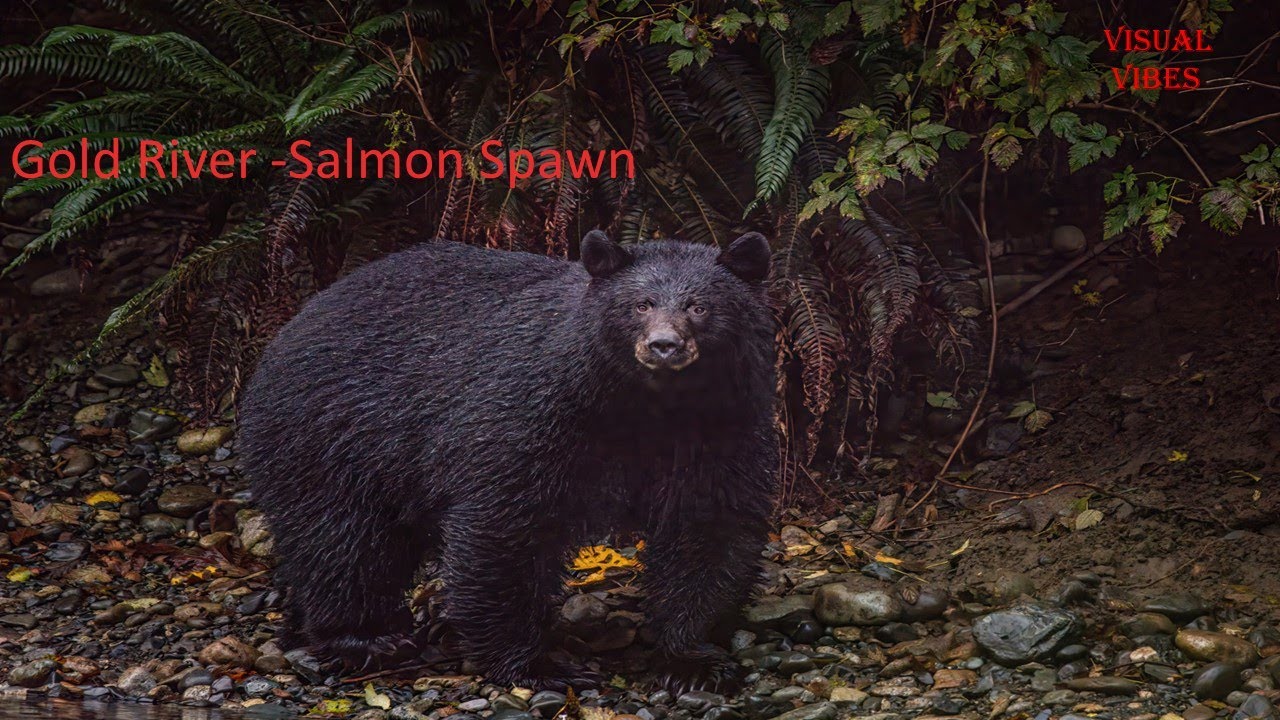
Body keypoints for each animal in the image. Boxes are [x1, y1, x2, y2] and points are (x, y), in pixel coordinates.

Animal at [237, 230, 778, 693]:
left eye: (700, 306)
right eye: (639, 304)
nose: (665, 346)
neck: (648, 406)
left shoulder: (721, 428)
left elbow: (710, 529)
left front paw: (693, 661)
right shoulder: (534, 415)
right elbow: (505, 528)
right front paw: (538, 665)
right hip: (330, 437)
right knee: (342, 542)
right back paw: (368, 637)